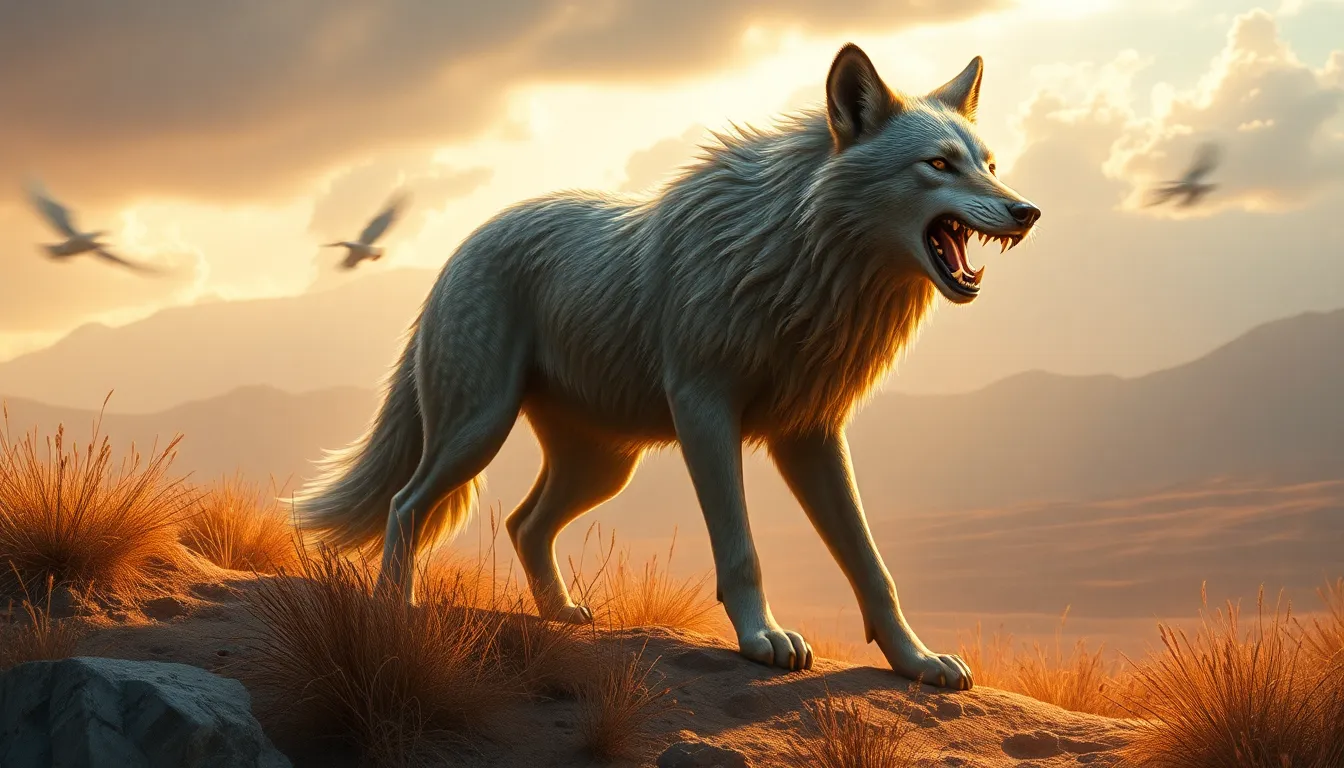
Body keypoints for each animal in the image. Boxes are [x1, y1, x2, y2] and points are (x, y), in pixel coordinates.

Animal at [296, 43, 1040, 691]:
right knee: (406, 503)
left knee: (523, 523)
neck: (792, 255)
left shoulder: (811, 434)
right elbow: (741, 549)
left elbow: (871, 565)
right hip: (478, 429)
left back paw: (561, 615)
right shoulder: (705, 412)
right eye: (938, 165)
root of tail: (460, 249)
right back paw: (394, 607)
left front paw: (917, 662)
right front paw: (763, 640)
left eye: (989, 163)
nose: (1027, 210)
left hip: (602, 466)